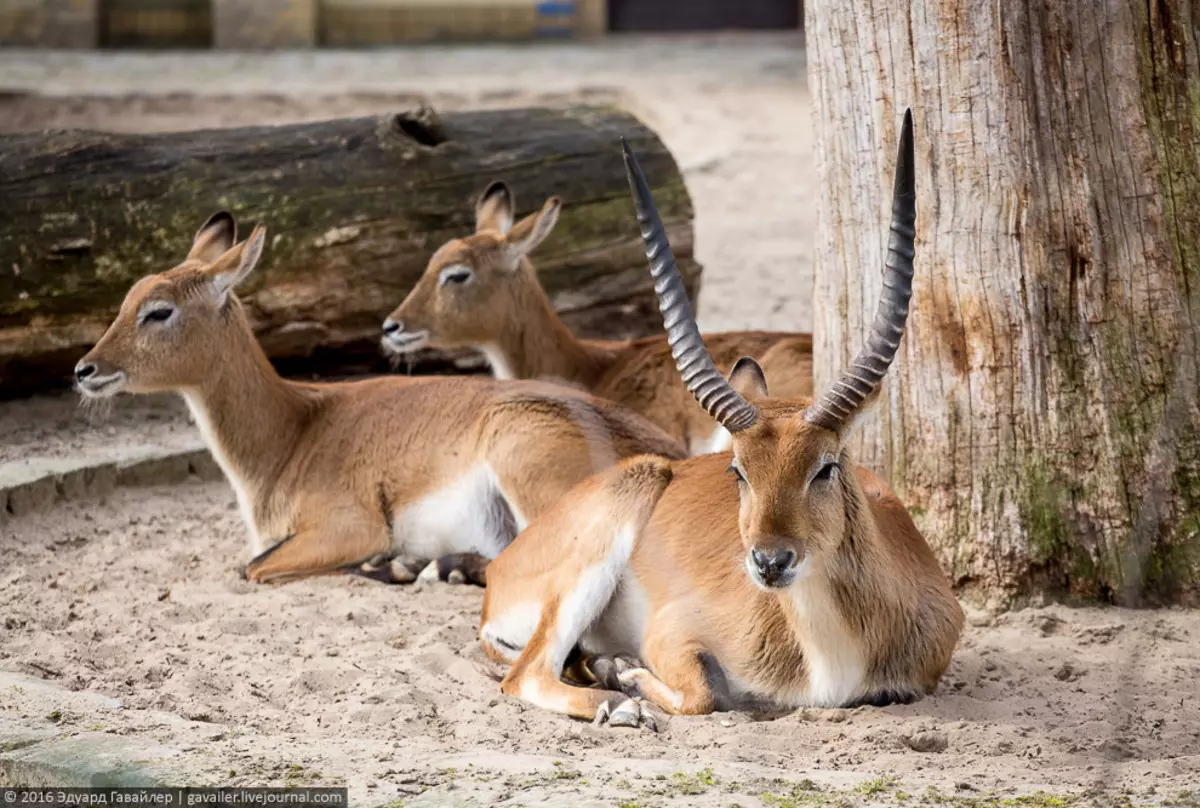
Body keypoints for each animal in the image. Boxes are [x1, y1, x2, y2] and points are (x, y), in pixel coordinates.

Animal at [75, 211, 686, 583]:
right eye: (128, 299)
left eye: (159, 310)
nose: (85, 370)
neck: (294, 429)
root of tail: (673, 461)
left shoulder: (347, 527)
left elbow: (253, 566)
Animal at [477, 110, 964, 729]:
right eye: (737, 470)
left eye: (826, 466)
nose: (770, 561)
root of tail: (499, 570)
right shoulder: (672, 633)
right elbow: (707, 694)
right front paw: (625, 673)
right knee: (524, 674)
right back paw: (617, 697)